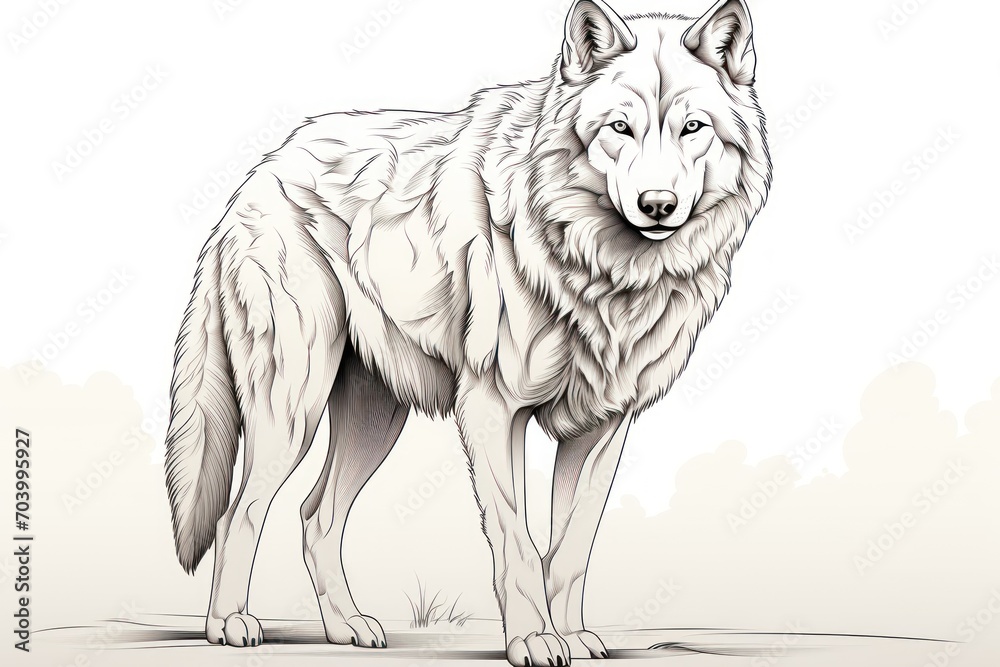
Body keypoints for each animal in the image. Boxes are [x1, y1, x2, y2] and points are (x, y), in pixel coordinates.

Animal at [163, 1, 771, 664]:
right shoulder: (491, 410)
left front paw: (572, 637)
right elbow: (519, 544)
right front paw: (533, 640)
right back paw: (230, 625)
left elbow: (570, 550)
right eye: (619, 128)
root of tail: (255, 175)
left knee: (315, 515)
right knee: (239, 513)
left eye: (693, 128)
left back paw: (348, 627)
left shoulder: (603, 429)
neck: (600, 270)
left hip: (375, 419)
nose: (656, 205)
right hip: (292, 408)